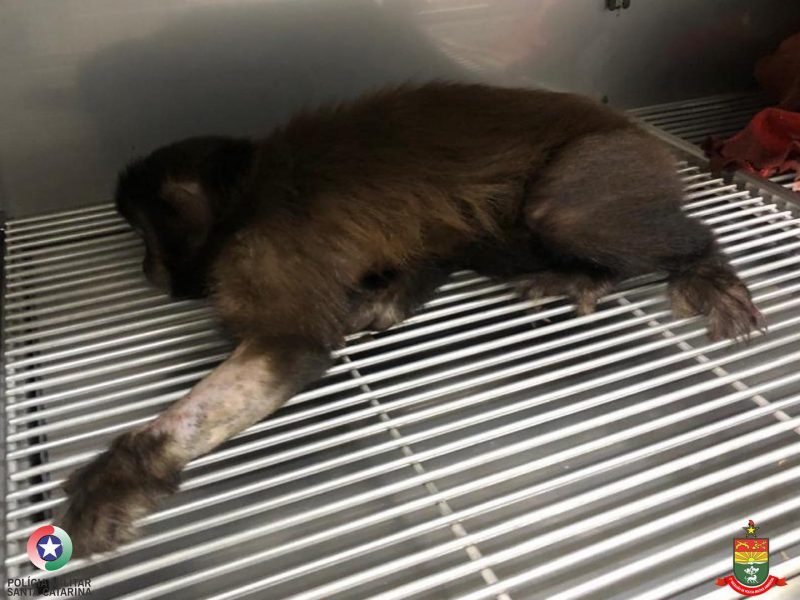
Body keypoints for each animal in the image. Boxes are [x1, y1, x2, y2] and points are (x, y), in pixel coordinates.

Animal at [59, 82, 764, 555]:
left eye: (145, 236)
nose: (144, 268)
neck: (245, 197)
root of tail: (640, 133)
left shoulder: (263, 244)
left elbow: (292, 346)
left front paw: (122, 470)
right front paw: (391, 294)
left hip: (619, 163)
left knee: (559, 212)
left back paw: (702, 259)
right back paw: (586, 275)